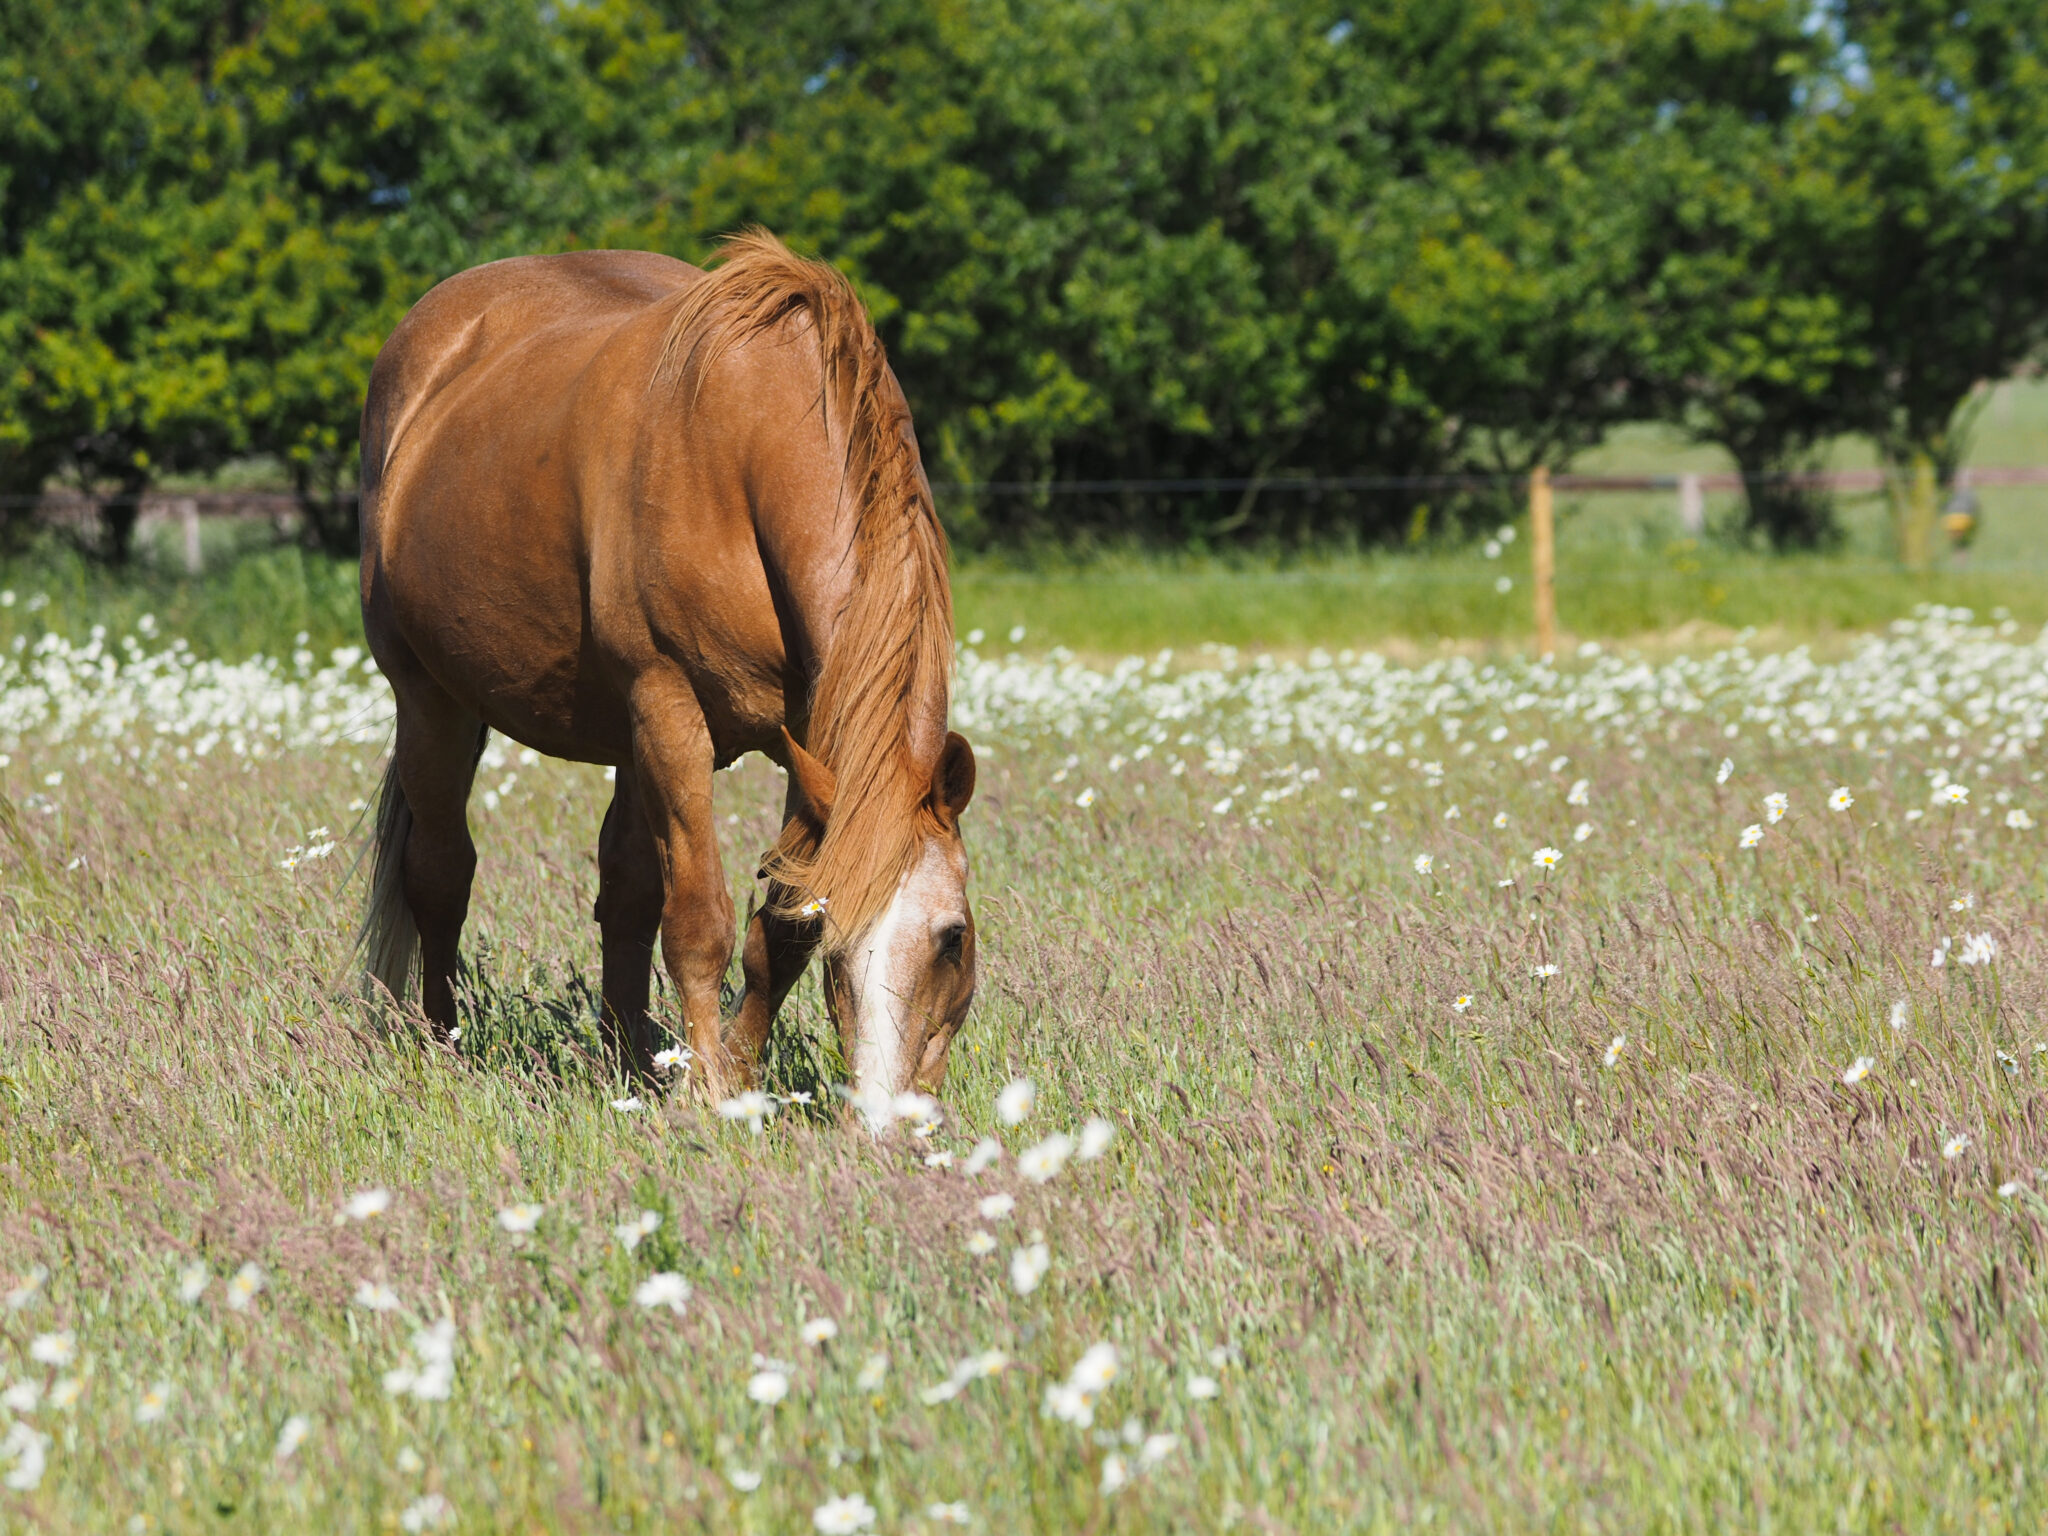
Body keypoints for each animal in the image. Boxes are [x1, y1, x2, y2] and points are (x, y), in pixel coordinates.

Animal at [354, 231, 978, 1101]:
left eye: (953, 937)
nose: (888, 1119)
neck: (750, 439)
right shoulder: (671, 708)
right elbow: (698, 921)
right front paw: (711, 1093)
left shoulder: (814, 738)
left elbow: (774, 925)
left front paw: (736, 1077)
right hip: (433, 703)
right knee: (442, 873)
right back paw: (446, 1046)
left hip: (624, 740)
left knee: (624, 893)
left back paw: (632, 1063)